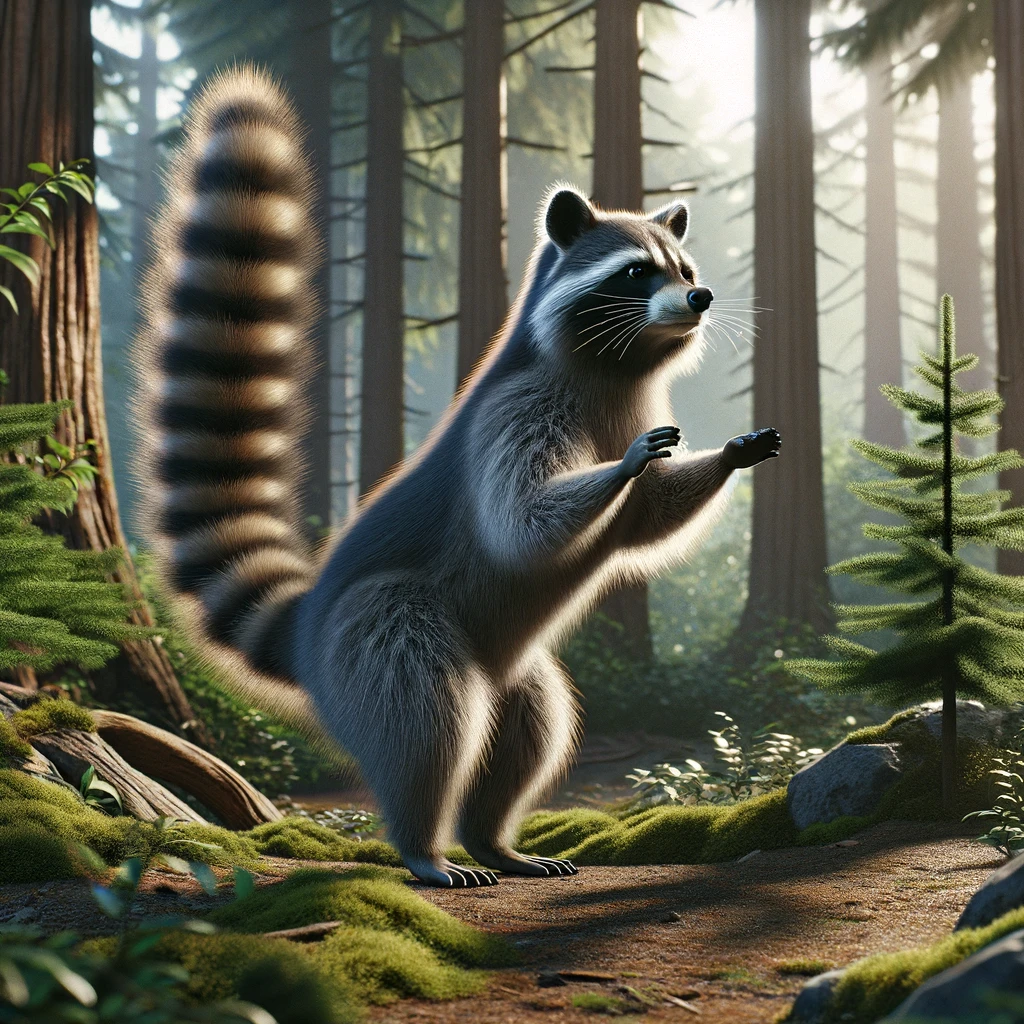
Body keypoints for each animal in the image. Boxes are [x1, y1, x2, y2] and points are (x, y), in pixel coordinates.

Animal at [137, 67, 781, 888]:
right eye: (637, 272)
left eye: (686, 271)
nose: (700, 298)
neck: (619, 366)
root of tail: (307, 630)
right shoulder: (515, 411)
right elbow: (520, 520)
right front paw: (627, 462)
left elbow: (643, 521)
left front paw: (727, 454)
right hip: (376, 632)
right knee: (425, 715)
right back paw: (422, 845)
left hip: (508, 670)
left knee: (532, 727)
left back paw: (491, 837)